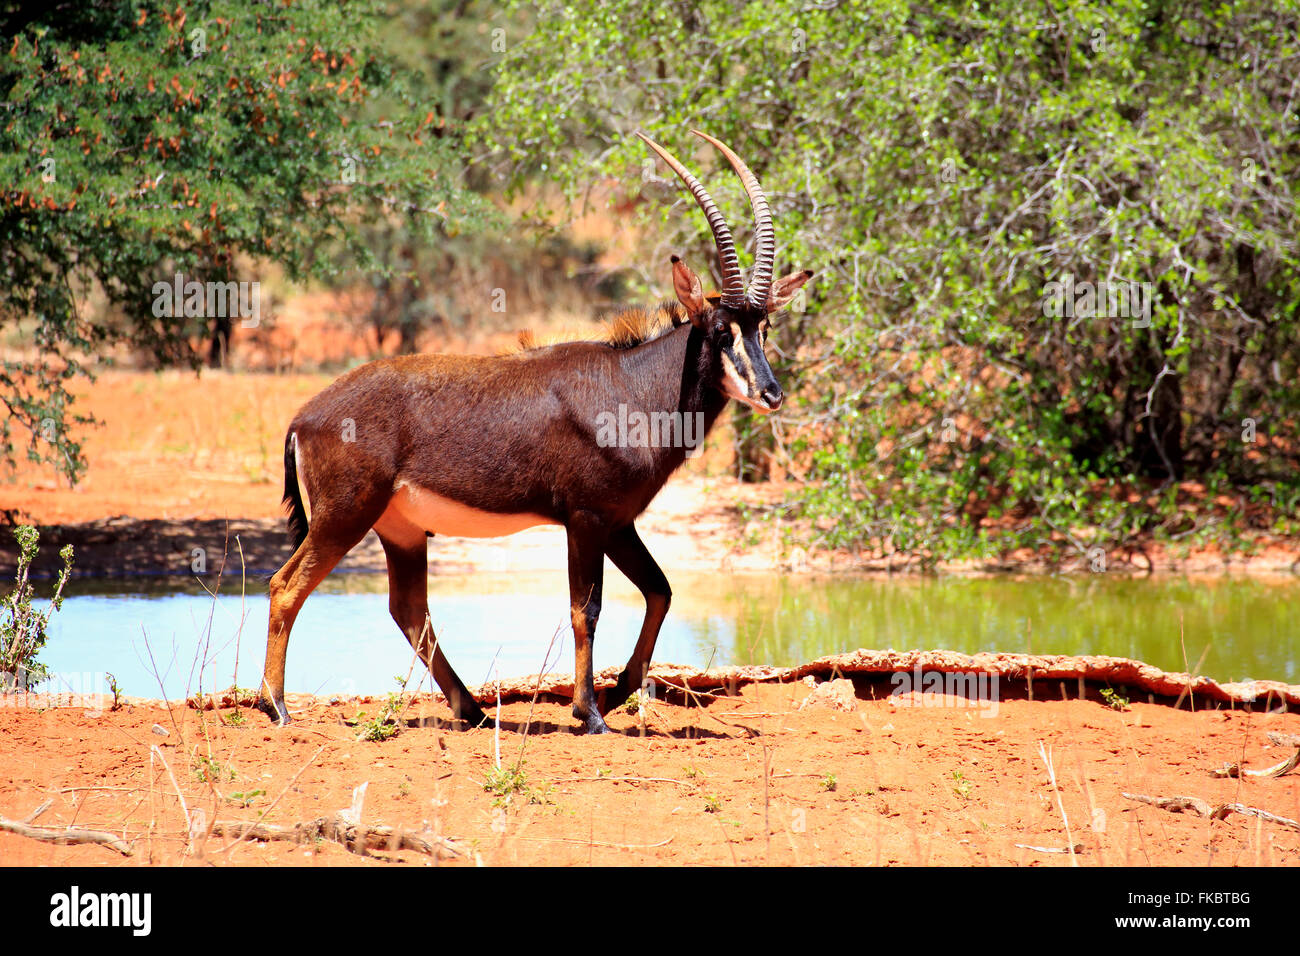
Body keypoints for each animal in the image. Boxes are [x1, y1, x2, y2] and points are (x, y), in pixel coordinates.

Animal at [257, 130, 813, 734]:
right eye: (719, 330)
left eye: (763, 327)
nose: (771, 393)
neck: (634, 385)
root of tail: (305, 417)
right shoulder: (586, 519)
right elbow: (586, 608)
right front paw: (589, 713)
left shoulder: (618, 522)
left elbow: (660, 591)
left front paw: (617, 693)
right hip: (344, 516)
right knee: (286, 586)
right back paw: (277, 706)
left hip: (399, 530)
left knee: (408, 609)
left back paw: (472, 709)